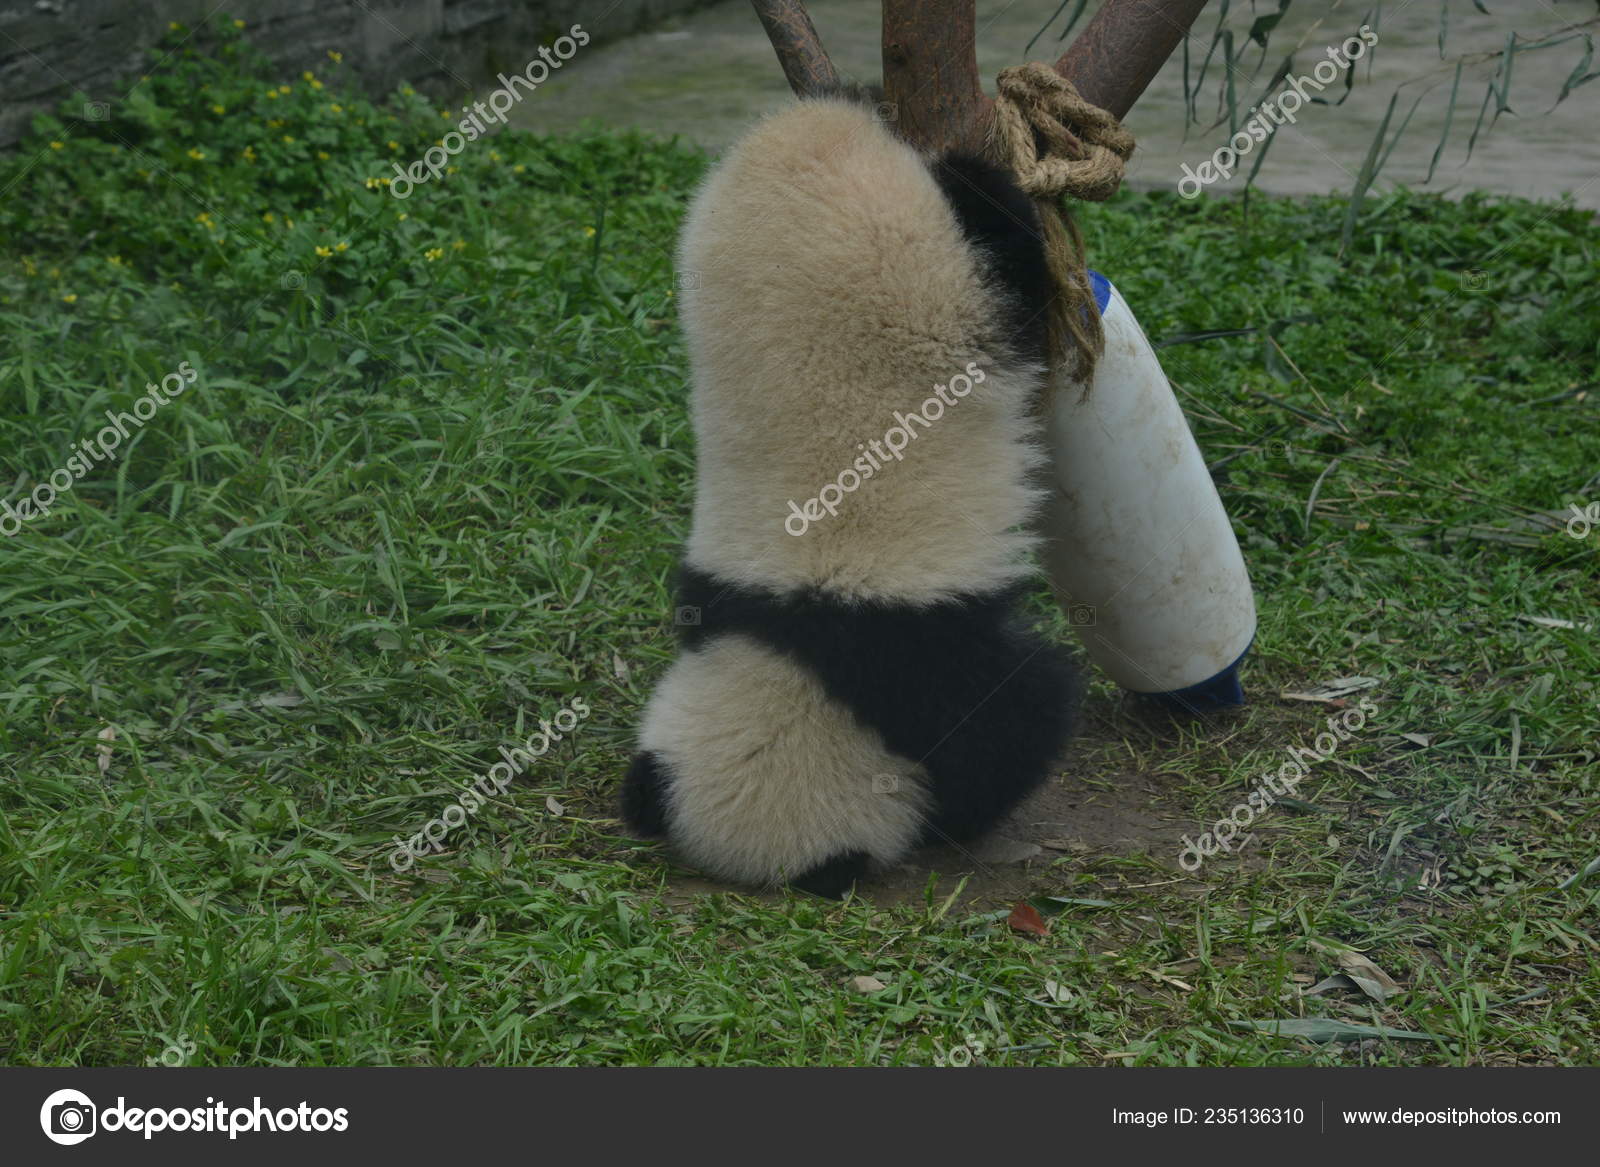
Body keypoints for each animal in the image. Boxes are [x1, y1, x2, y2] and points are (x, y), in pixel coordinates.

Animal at [620, 93, 1079, 898]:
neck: (800, 648)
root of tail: (818, 133)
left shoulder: (921, 645)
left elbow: (1011, 725)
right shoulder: (721, 593)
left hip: (932, 270)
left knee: (998, 246)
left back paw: (976, 172)